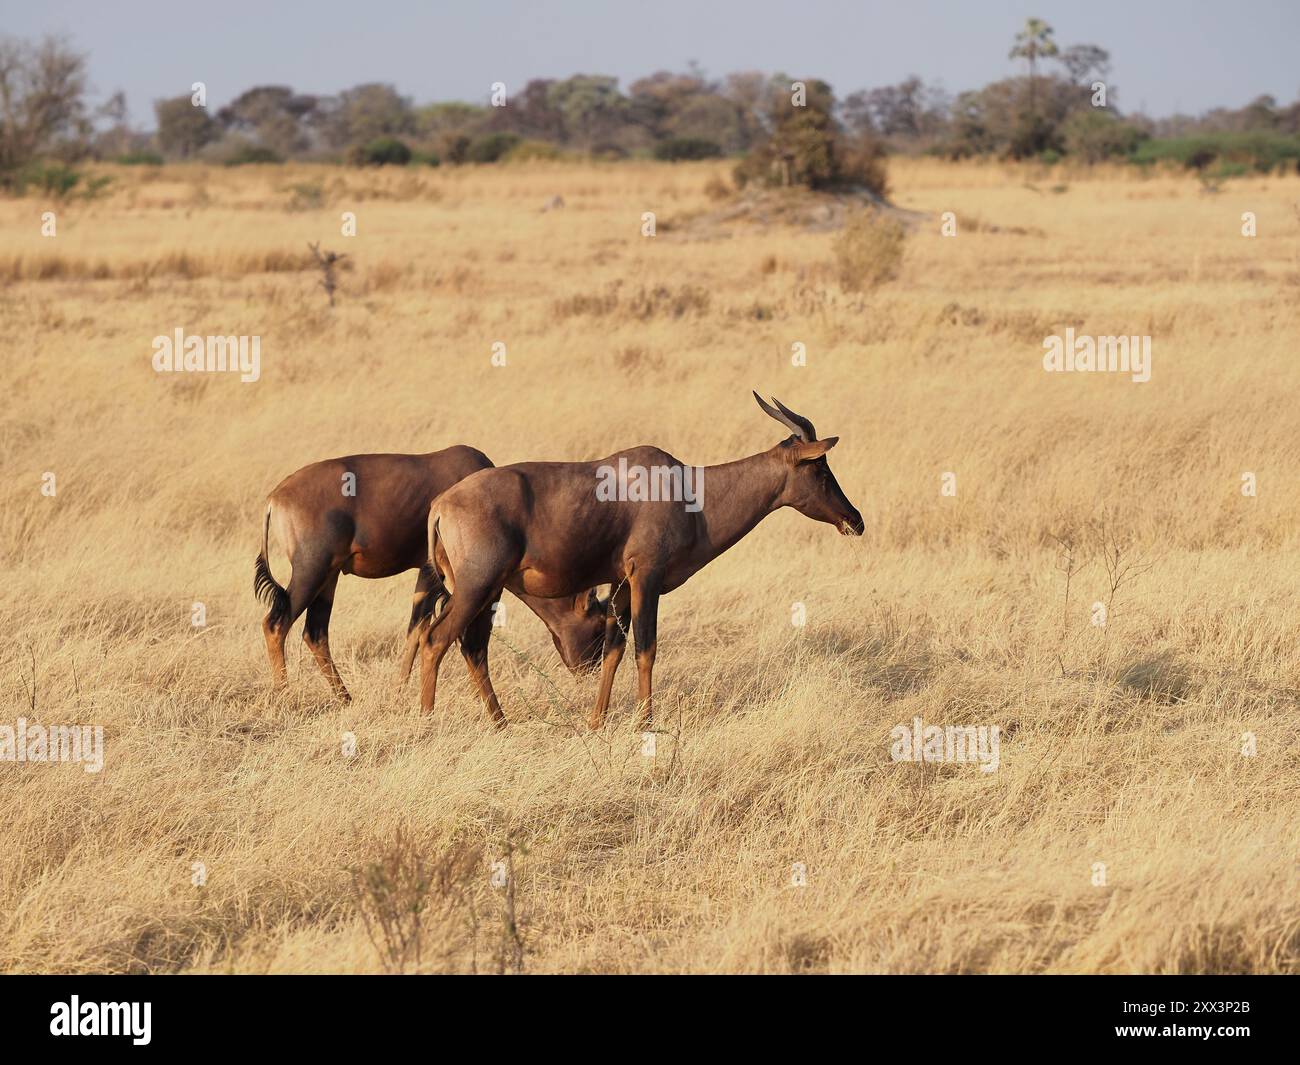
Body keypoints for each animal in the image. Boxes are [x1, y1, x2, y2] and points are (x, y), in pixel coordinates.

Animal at [254, 445, 607, 702]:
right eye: (598, 626)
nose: (590, 673)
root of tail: (274, 498)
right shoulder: (433, 573)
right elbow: (425, 630)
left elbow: (416, 629)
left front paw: (398, 695)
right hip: (311, 570)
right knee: (276, 623)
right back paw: (285, 695)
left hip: (329, 577)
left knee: (315, 633)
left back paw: (345, 699)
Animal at [412, 394, 864, 728]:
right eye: (820, 469)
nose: (855, 520)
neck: (686, 491)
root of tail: (441, 506)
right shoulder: (647, 576)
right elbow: (646, 648)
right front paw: (647, 724)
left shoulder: (621, 584)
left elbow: (614, 648)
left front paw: (596, 723)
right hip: (478, 587)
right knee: (437, 640)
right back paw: (429, 723)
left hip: (480, 591)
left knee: (468, 646)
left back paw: (500, 723)